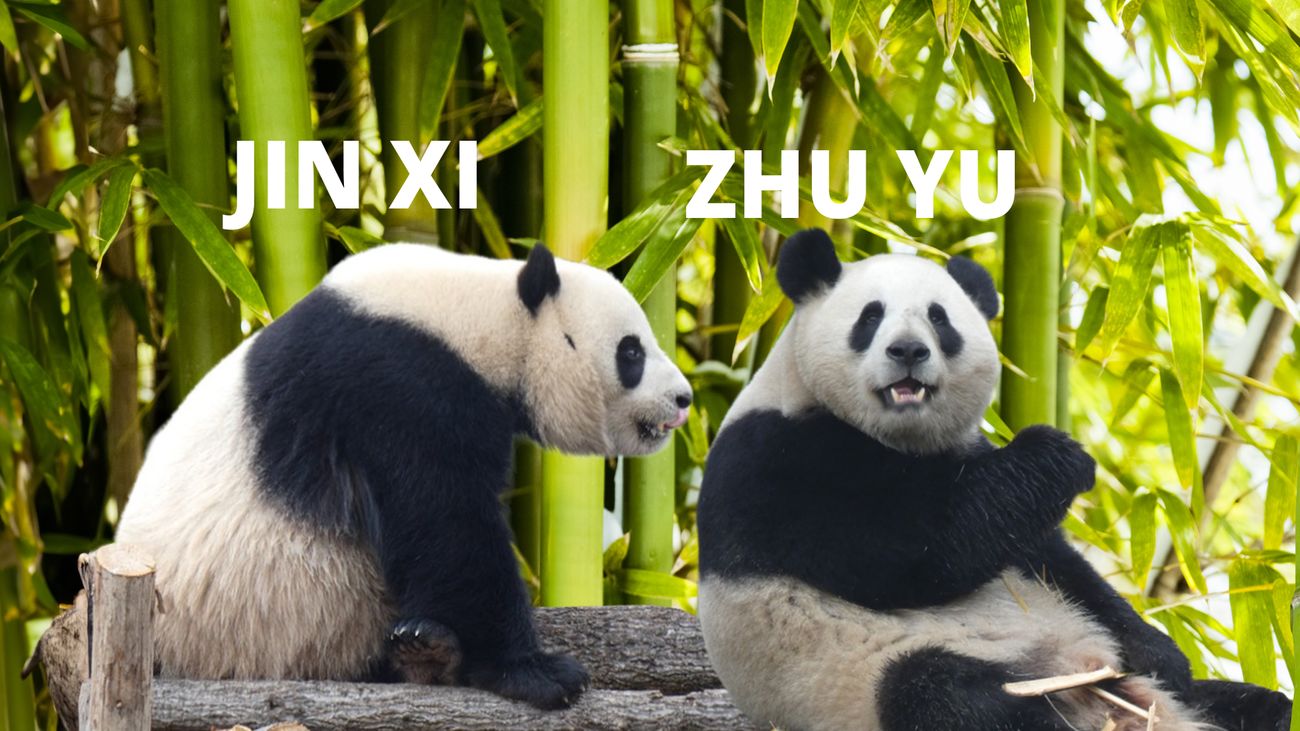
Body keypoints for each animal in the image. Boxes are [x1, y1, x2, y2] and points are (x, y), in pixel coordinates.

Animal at [114, 243, 692, 709]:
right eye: (632, 351)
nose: (684, 398)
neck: (483, 314)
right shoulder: (399, 387)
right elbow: (448, 525)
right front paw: (538, 673)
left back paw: (427, 645)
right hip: (247, 628)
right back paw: (427, 654)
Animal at [696, 228, 1291, 731]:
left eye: (940, 319)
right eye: (870, 317)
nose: (907, 350)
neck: (898, 438)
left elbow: (1051, 560)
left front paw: (1163, 654)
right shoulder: (780, 465)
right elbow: (917, 555)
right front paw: (1058, 453)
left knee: (1259, 705)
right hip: (856, 678)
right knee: (943, 694)